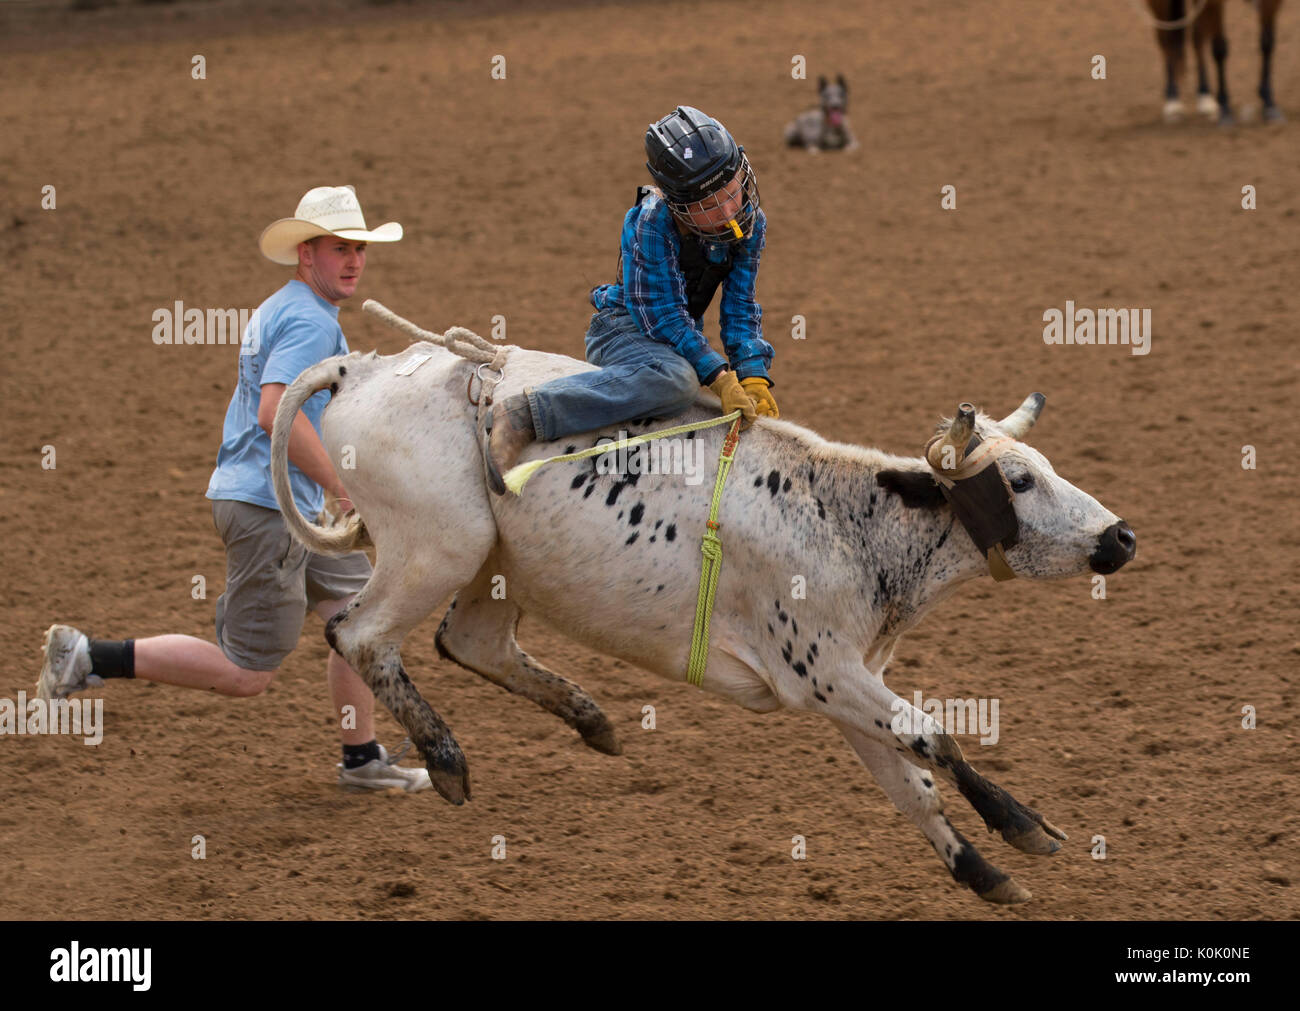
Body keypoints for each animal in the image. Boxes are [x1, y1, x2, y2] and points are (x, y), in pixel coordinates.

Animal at [270, 337, 1136, 904]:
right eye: (1018, 481)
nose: (1120, 536)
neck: (842, 518)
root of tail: (364, 366)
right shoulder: (823, 675)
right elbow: (936, 737)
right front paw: (1023, 824)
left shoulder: (849, 686)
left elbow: (913, 782)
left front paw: (985, 873)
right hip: (435, 548)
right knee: (359, 635)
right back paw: (447, 759)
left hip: (495, 566)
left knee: (469, 640)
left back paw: (591, 718)